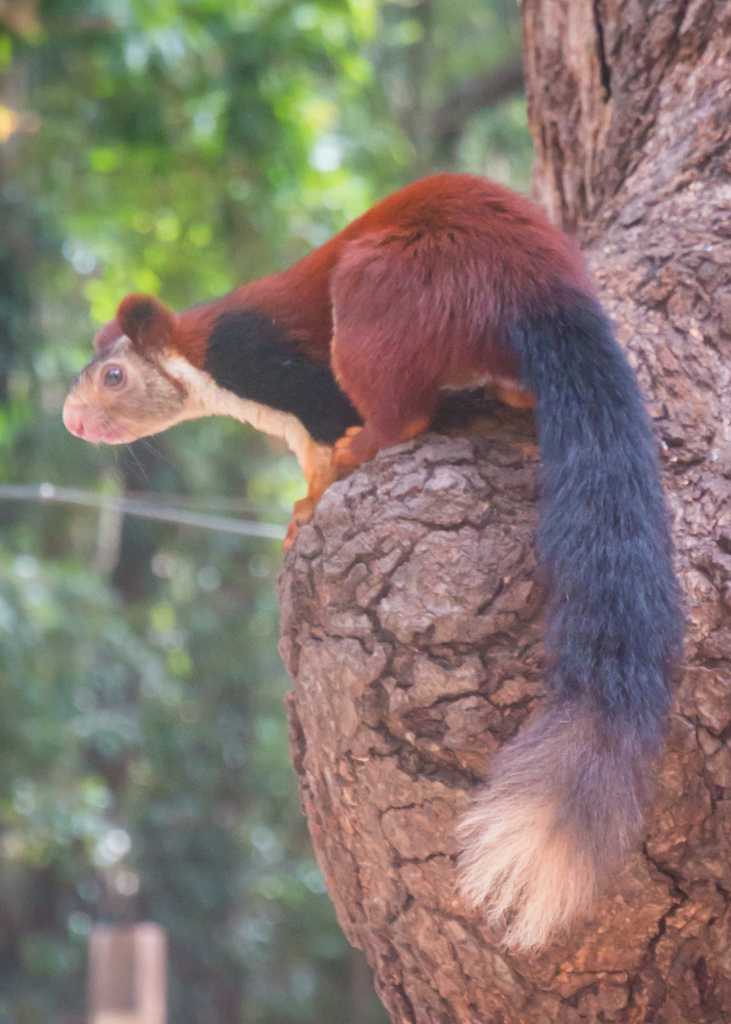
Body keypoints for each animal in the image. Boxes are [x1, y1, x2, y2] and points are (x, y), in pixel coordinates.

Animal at [63, 173, 682, 950]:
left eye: (114, 377)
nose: (71, 420)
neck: (206, 369)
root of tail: (536, 283)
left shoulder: (277, 368)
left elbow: (324, 439)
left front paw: (313, 499)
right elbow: (308, 460)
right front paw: (302, 505)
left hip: (381, 295)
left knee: (400, 411)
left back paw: (373, 440)